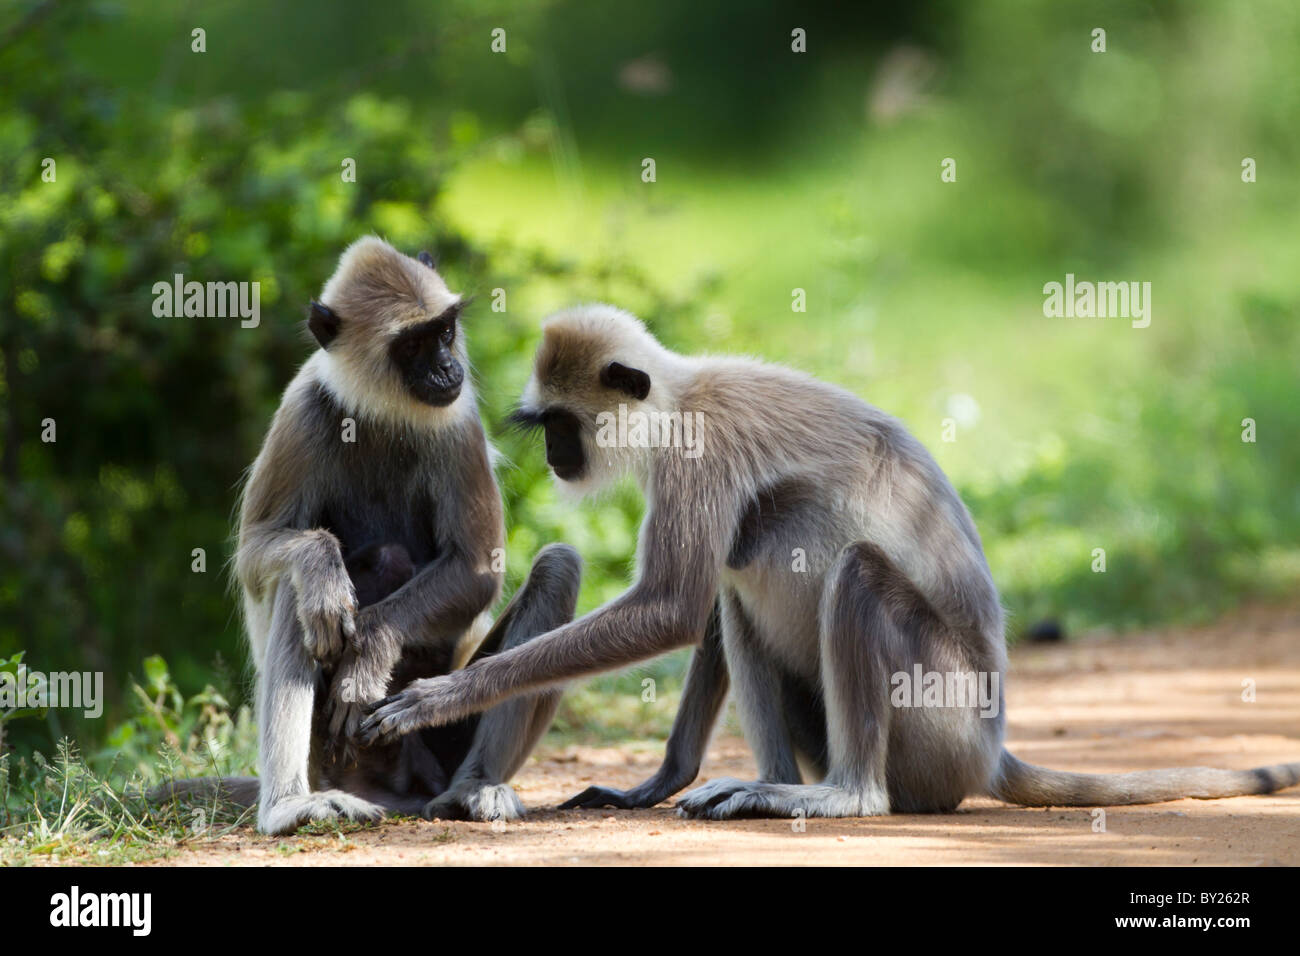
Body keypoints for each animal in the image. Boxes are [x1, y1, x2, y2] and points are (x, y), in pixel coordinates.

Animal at [155, 237, 582, 834]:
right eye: (414, 345)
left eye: (445, 332)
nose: (447, 367)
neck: (381, 414)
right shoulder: (303, 408)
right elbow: (256, 555)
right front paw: (320, 566)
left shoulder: (460, 416)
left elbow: (477, 566)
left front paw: (369, 654)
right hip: (328, 758)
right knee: (302, 592)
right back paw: (289, 804)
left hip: (431, 733)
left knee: (558, 566)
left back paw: (471, 788)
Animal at [359, 302, 1300, 819]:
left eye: (562, 423)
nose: (556, 457)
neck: (680, 396)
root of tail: (990, 748)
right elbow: (700, 610)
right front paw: (655, 783)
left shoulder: (698, 451)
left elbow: (670, 607)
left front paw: (443, 696)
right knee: (740, 591)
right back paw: (766, 783)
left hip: (937, 716)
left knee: (856, 574)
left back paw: (838, 795)